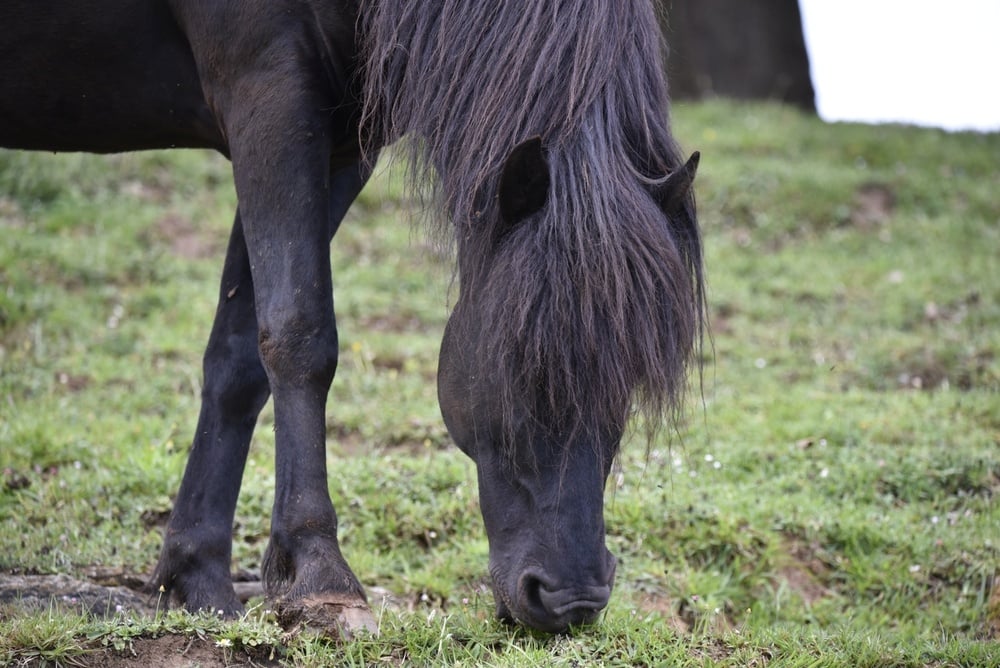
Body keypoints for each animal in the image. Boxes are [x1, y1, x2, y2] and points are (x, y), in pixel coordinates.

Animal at [0, 0, 704, 636]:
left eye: (632, 380)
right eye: (519, 368)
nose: (572, 600)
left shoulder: (342, 145)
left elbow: (239, 355)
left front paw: (199, 580)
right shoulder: (270, 94)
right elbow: (298, 334)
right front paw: (320, 581)